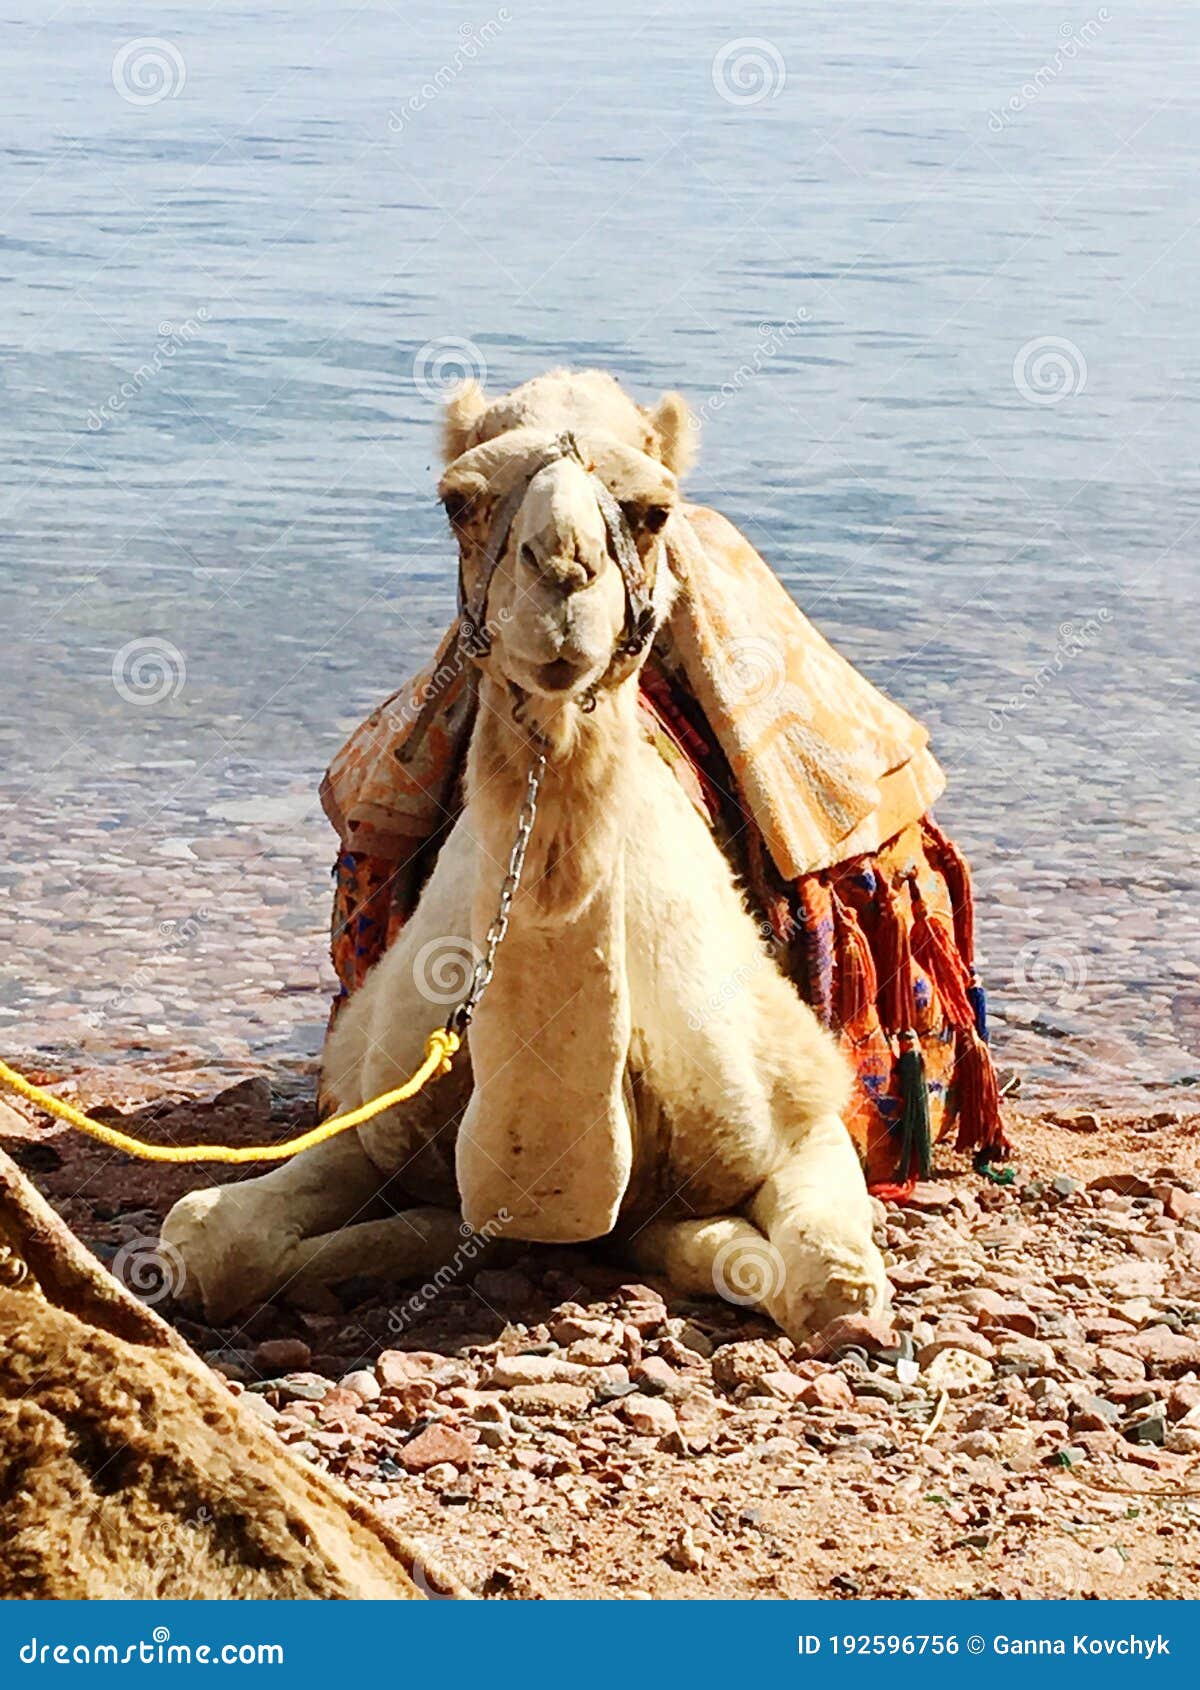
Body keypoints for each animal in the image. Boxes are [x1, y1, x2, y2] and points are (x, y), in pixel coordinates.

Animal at [162, 370, 889, 1344]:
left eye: (652, 511)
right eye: (457, 501)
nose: (563, 574)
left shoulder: (800, 1105)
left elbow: (834, 1284)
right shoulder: (367, 1108)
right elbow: (204, 1240)